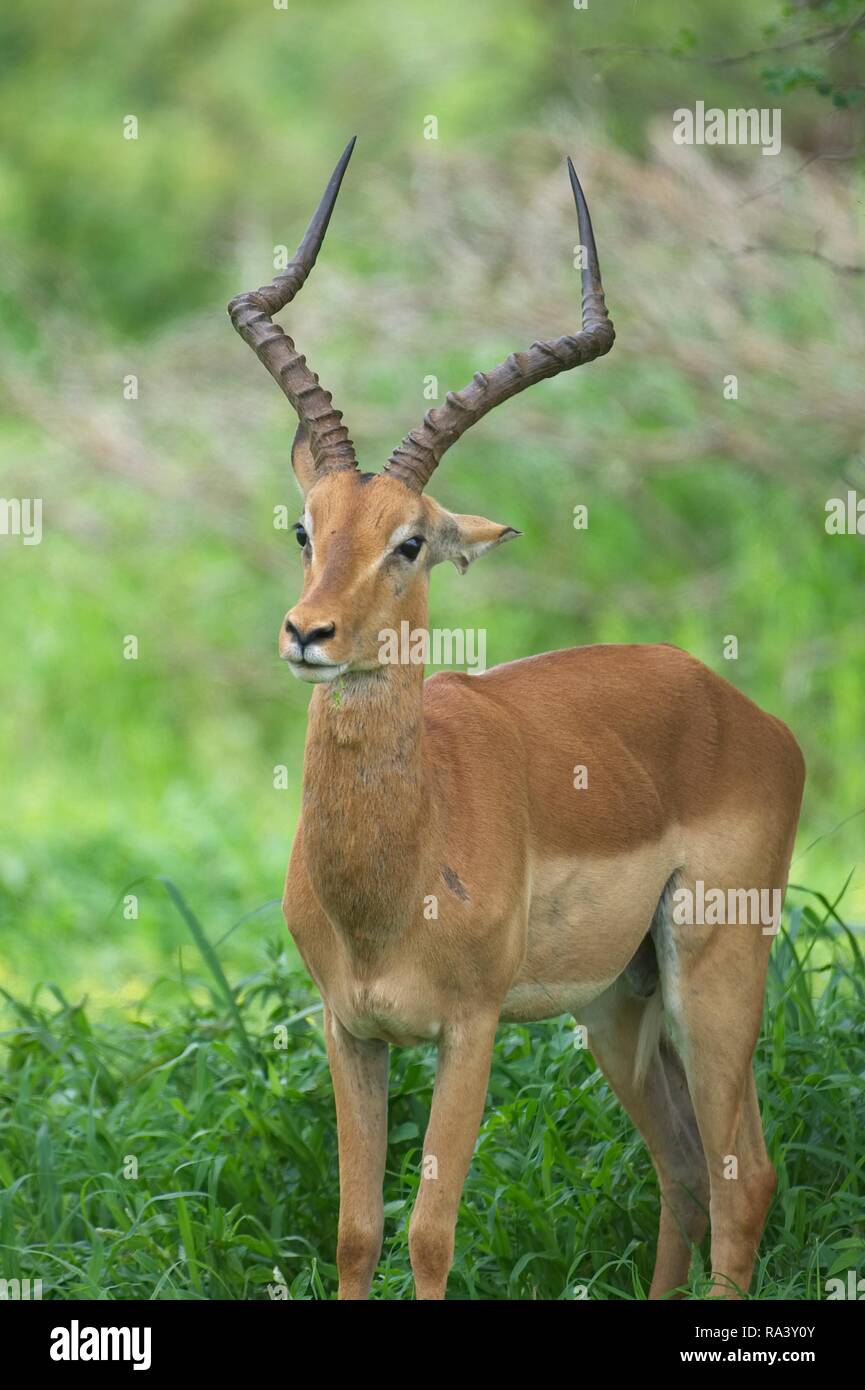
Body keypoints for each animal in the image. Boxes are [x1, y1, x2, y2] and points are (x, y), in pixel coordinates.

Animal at [228, 139, 805, 1300]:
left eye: (409, 541)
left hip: (714, 970)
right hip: (617, 1005)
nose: (309, 633)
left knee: (743, 1177)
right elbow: (353, 1230)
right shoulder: (348, 1030)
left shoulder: (471, 1028)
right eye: (306, 526)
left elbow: (428, 1232)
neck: (394, 875)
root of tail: (742, 711)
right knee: (682, 1169)